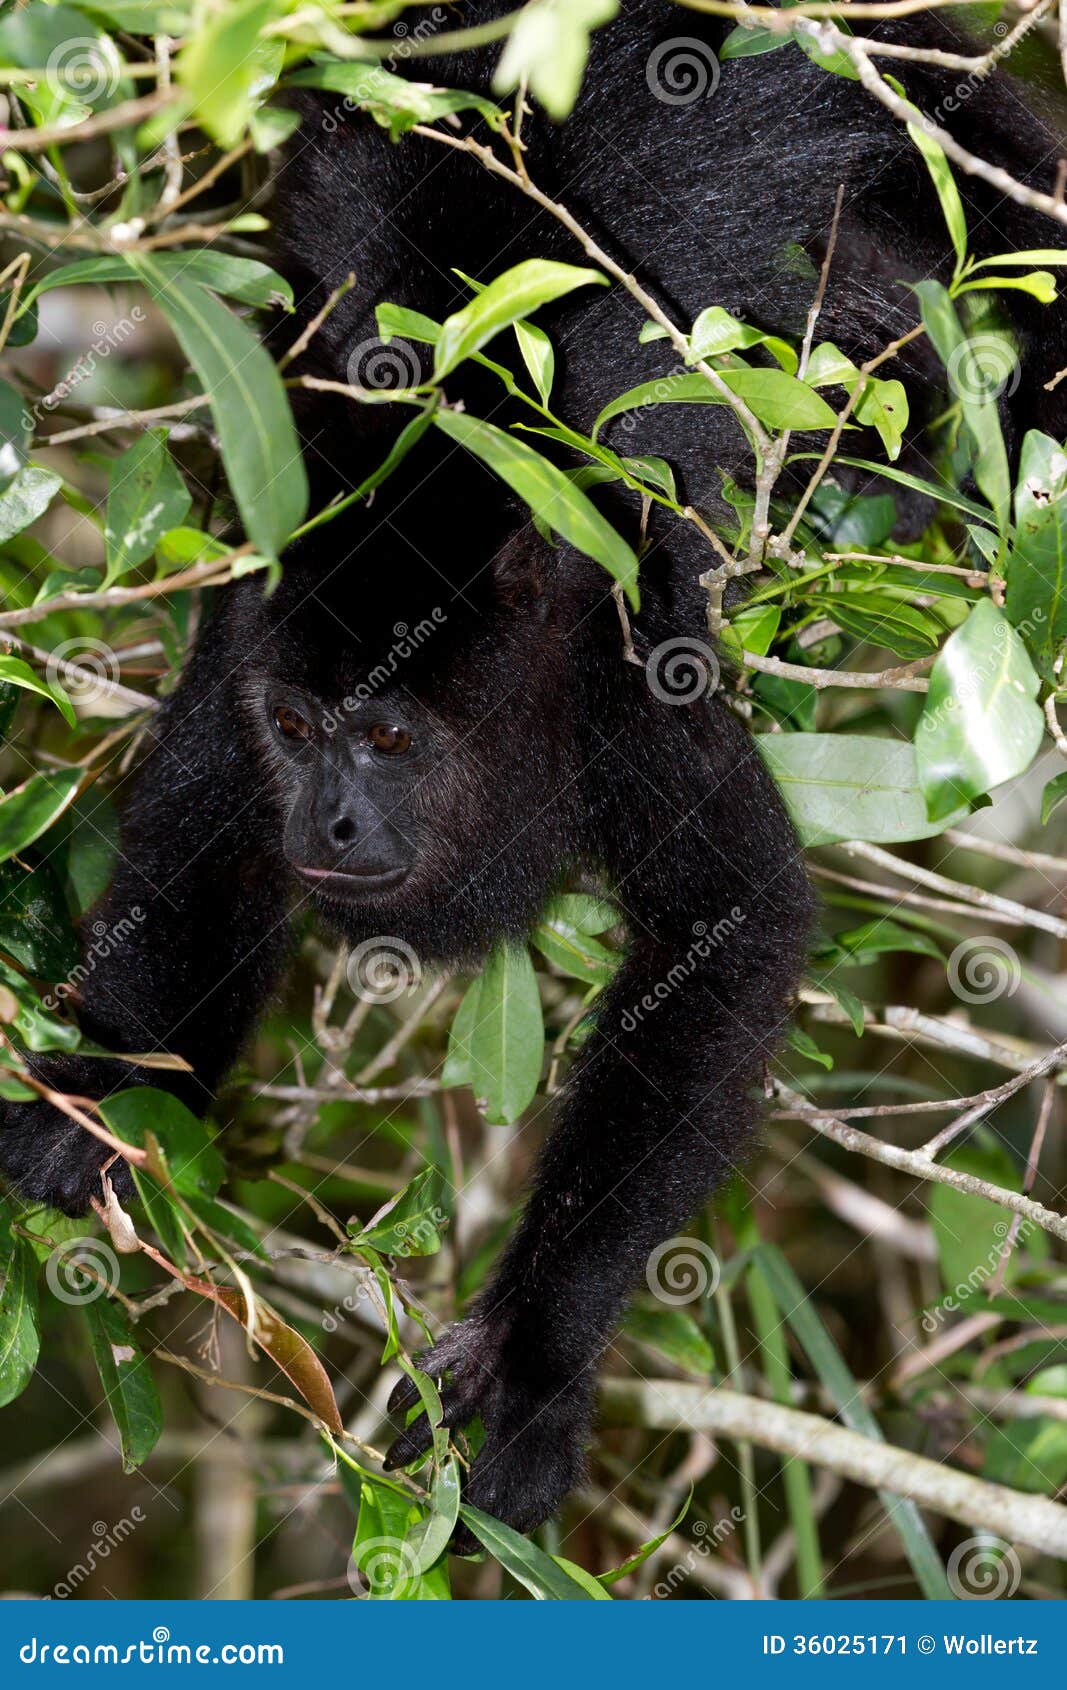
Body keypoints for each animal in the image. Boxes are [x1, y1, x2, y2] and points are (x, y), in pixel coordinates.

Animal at [2, 3, 1065, 1537]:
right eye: (298, 727)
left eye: (392, 739)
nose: (330, 821)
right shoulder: (251, 598)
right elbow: (205, 837)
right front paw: (105, 1091)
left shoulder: (623, 640)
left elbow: (725, 925)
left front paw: (527, 1356)